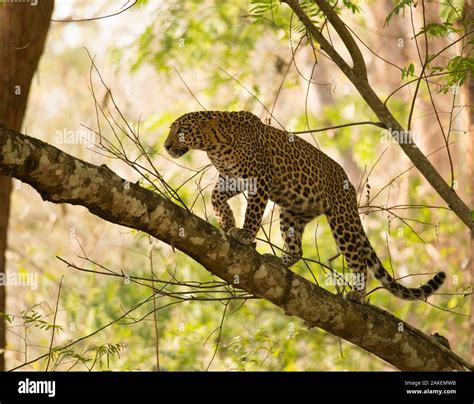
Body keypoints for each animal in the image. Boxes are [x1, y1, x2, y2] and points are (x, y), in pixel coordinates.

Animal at [165, 109, 446, 300]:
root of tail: (350, 188)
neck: (213, 145)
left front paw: (244, 234)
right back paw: (281, 260)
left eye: (180, 130)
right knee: (297, 249)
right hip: (291, 212)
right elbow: (215, 197)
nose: (166, 145)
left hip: (342, 220)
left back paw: (357, 294)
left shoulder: (260, 179)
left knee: (358, 259)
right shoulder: (231, 179)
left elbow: (253, 213)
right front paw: (227, 221)